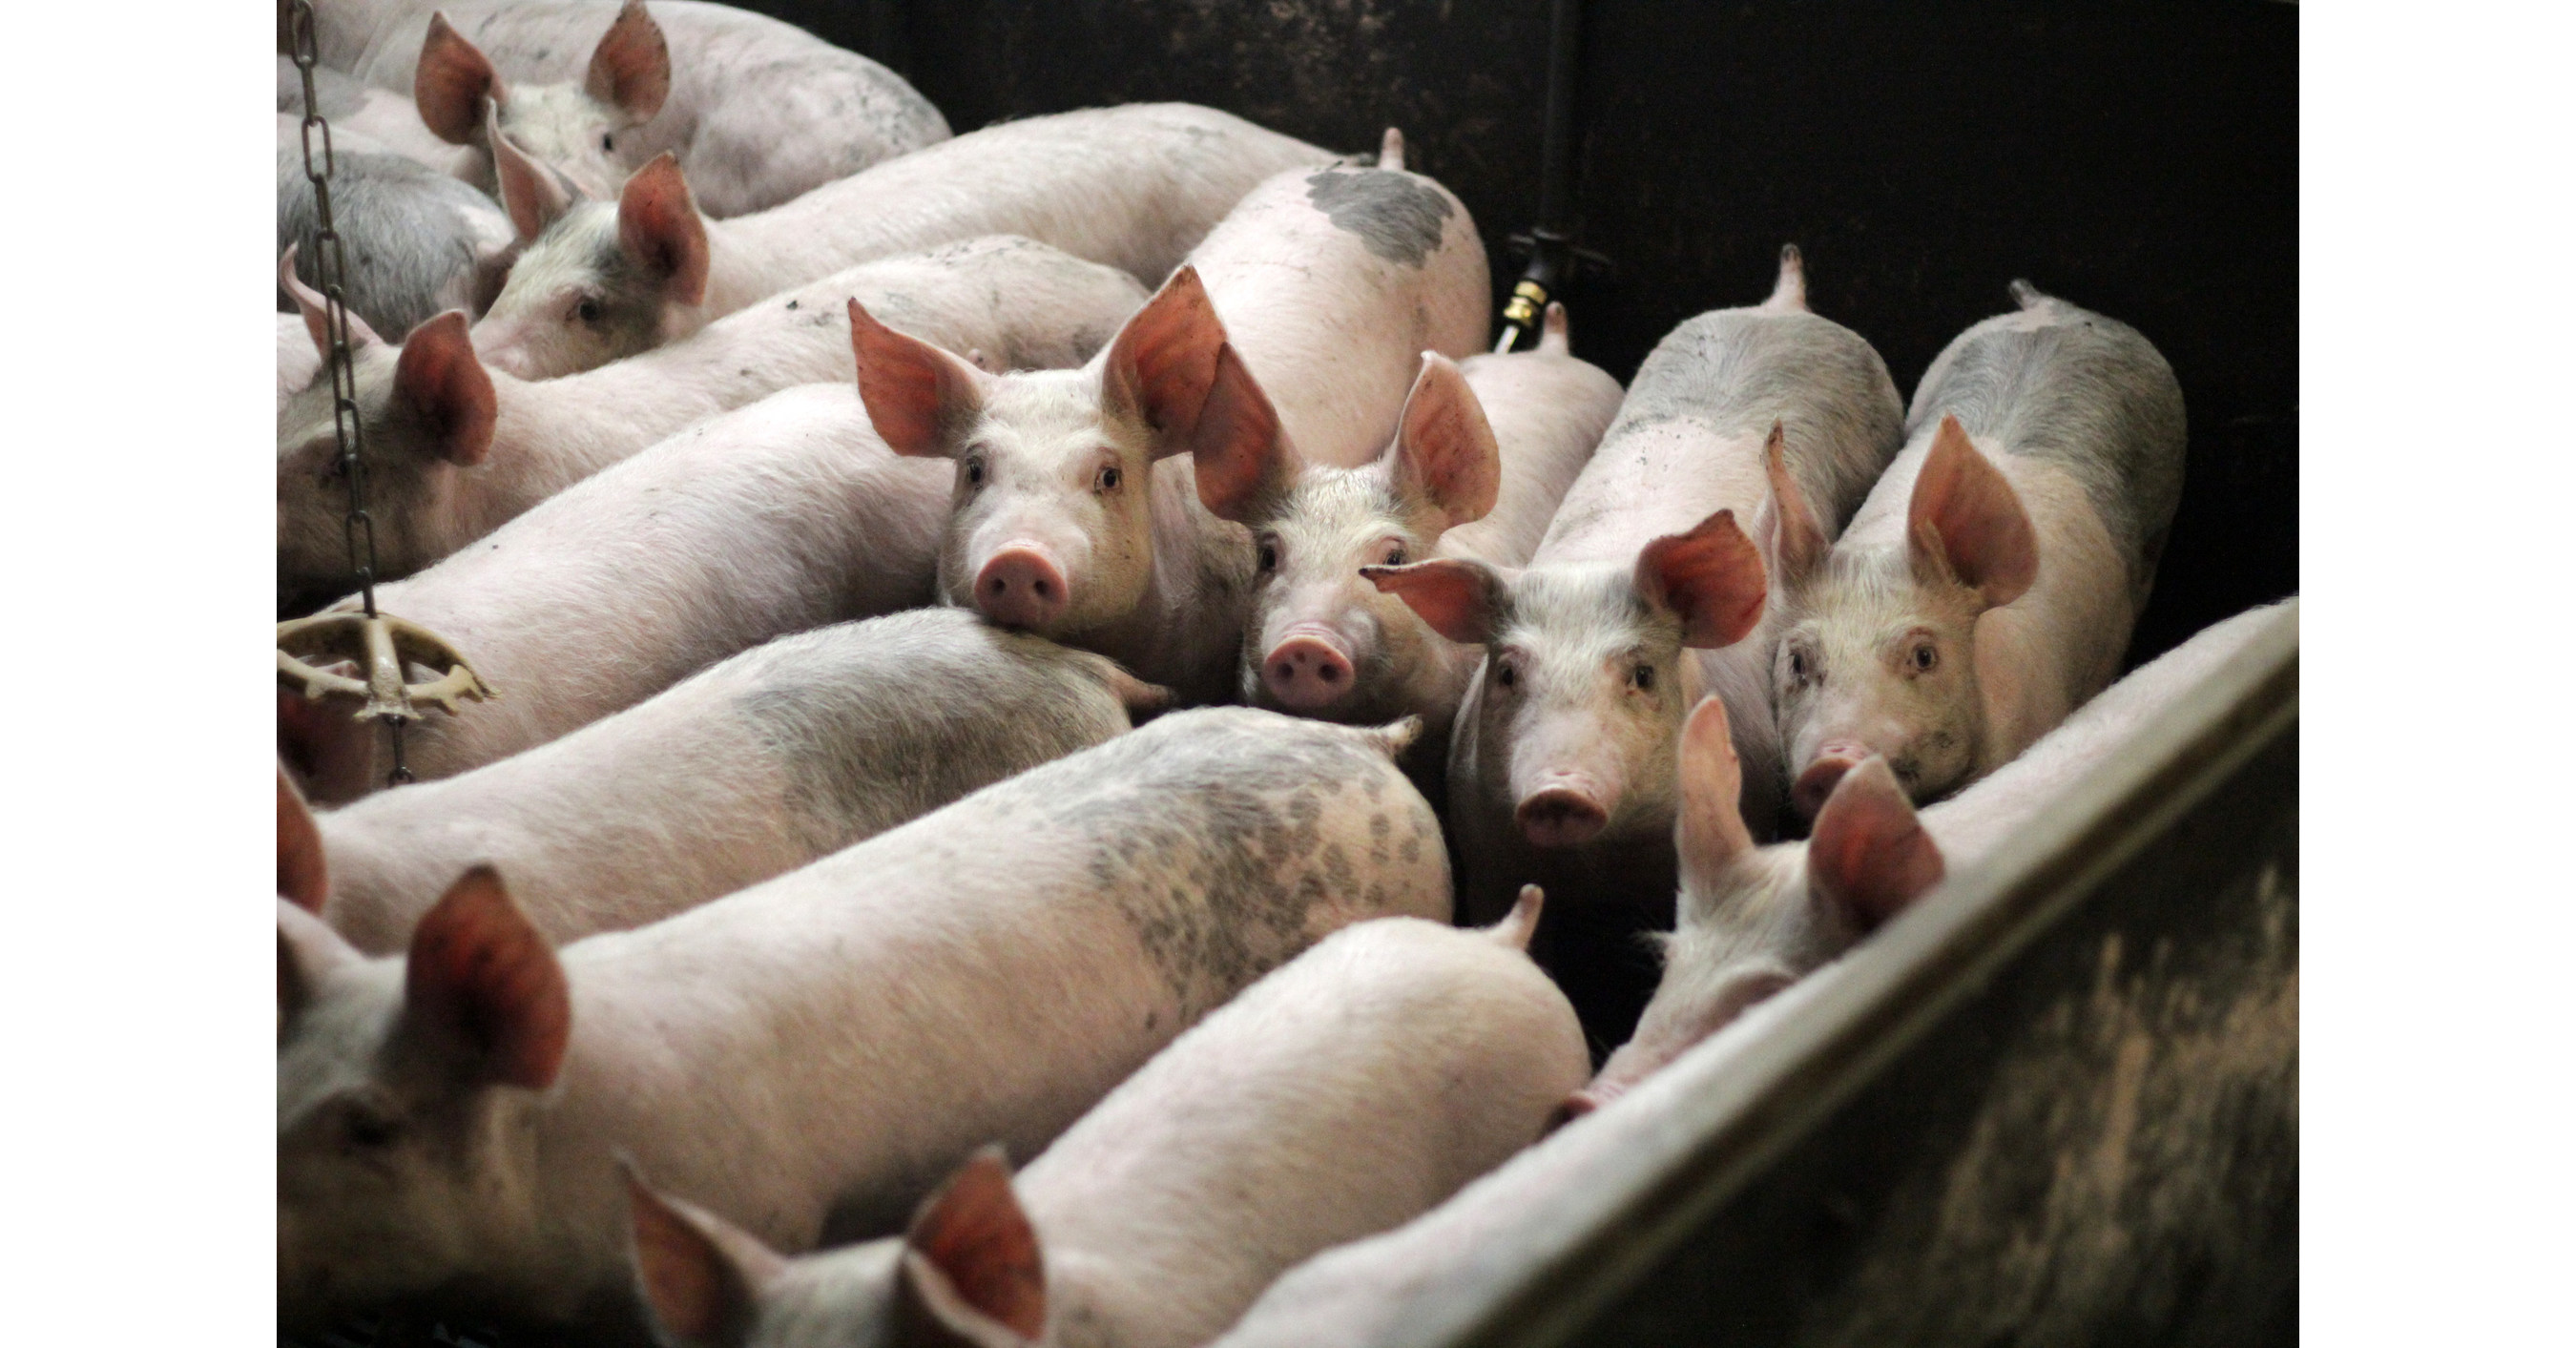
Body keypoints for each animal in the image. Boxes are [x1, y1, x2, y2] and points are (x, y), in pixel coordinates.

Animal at [1369, 248, 1904, 924]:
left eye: (1642, 674)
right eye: (1509, 672)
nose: (1559, 792)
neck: (1597, 870)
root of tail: (1784, 305)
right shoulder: (1486, 855)